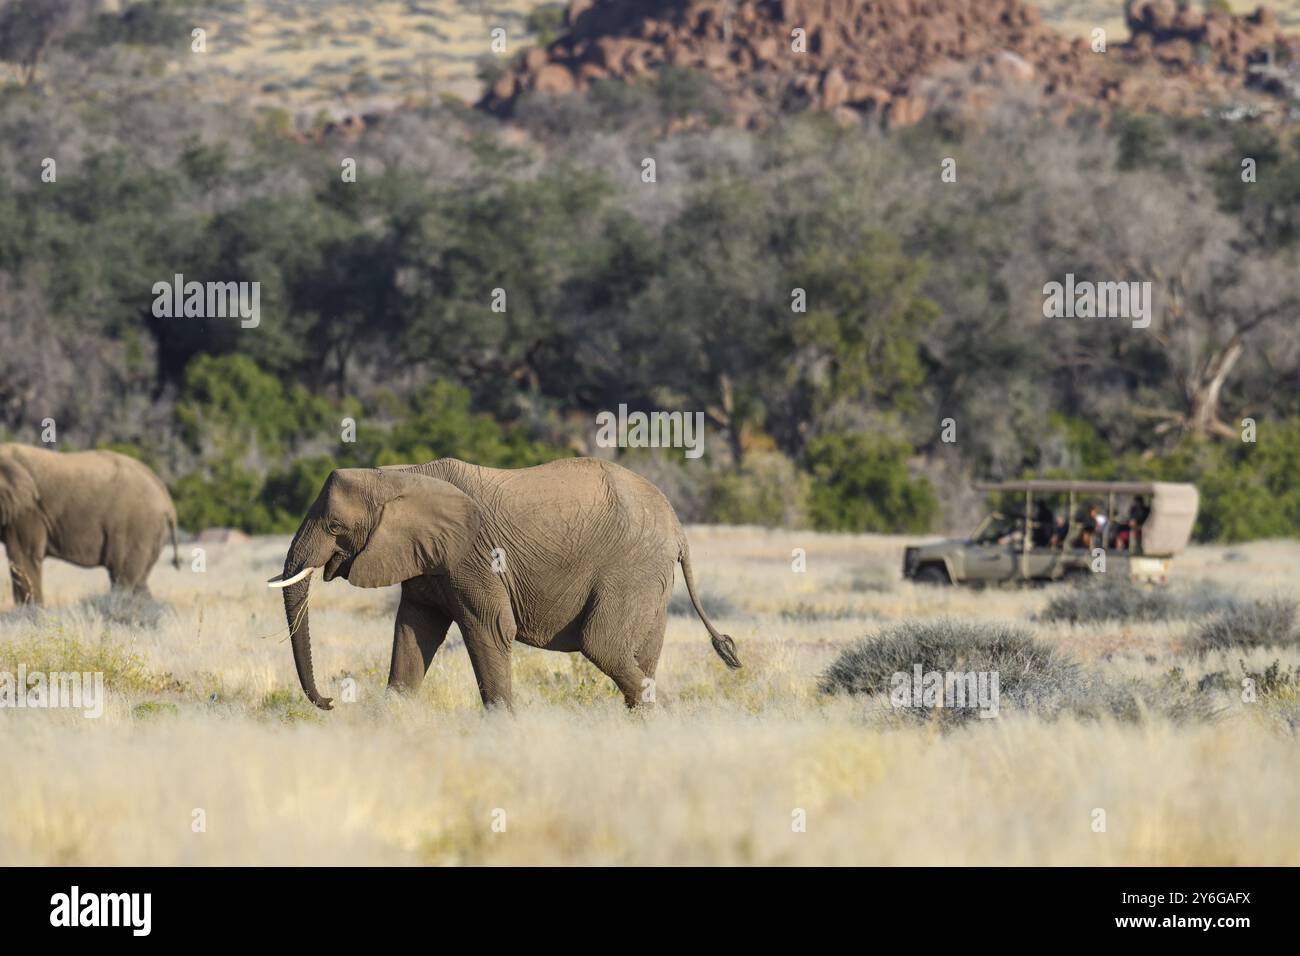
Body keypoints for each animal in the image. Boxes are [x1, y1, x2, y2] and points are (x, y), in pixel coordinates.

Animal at [0, 444, 180, 605]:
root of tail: (166, 498)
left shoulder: (28, 513)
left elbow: (23, 559)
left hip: (137, 525)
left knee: (122, 578)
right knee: (139, 583)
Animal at [268, 457, 741, 711]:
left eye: (334, 526)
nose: (331, 701)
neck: (400, 474)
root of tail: (678, 527)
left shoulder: (473, 556)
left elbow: (490, 630)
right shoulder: (427, 562)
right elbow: (413, 632)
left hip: (631, 568)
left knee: (602, 644)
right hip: (649, 580)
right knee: (640, 654)